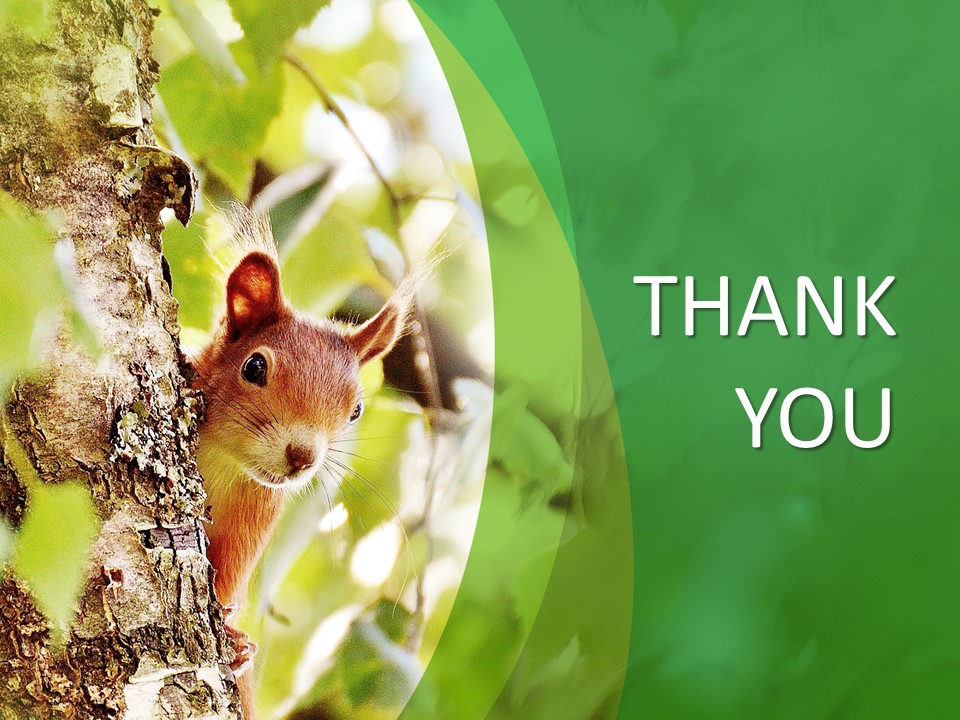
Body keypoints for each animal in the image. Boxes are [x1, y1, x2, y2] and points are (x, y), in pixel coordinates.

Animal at [189, 211, 417, 718]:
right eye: (254, 367)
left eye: (356, 410)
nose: (302, 457)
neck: (224, 460)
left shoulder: (255, 513)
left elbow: (228, 574)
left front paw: (235, 641)